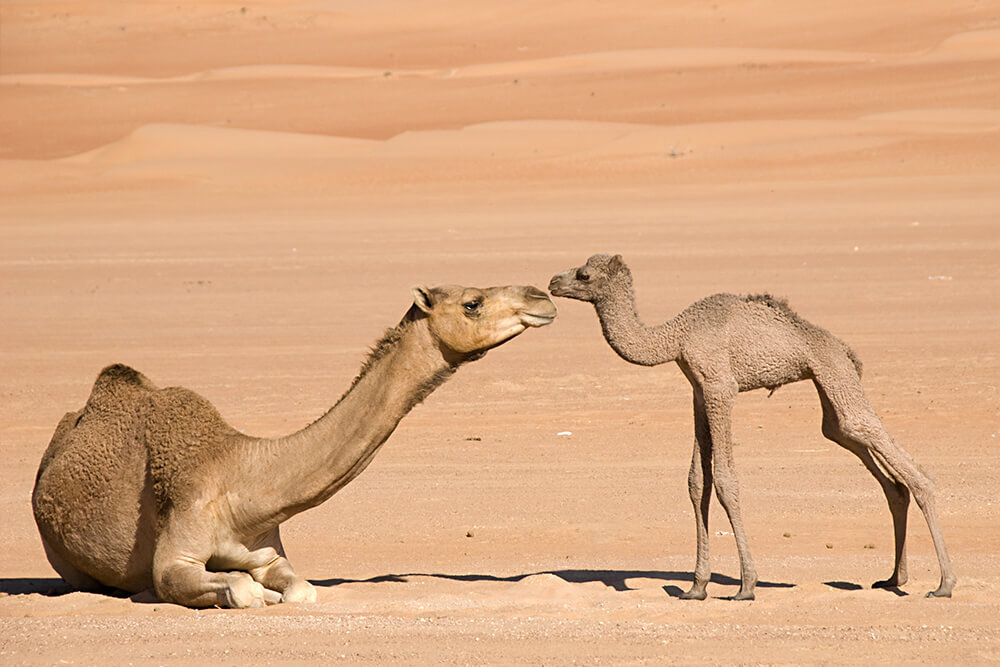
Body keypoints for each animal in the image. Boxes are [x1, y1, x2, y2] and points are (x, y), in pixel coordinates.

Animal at [32, 284, 557, 608]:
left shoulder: (267, 553)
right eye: (472, 303)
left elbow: (299, 590)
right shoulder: (176, 554)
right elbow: (237, 590)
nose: (542, 296)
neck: (242, 481)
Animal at [549, 253, 955, 600]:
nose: (553, 281)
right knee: (864, 453)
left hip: (832, 371)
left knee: (899, 459)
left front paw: (746, 585)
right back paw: (893, 578)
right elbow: (697, 482)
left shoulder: (721, 387)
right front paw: (696, 587)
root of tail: (845, 349)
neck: (675, 337)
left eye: (583, 275)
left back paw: (943, 584)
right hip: (828, 388)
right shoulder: (699, 392)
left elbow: (725, 481)